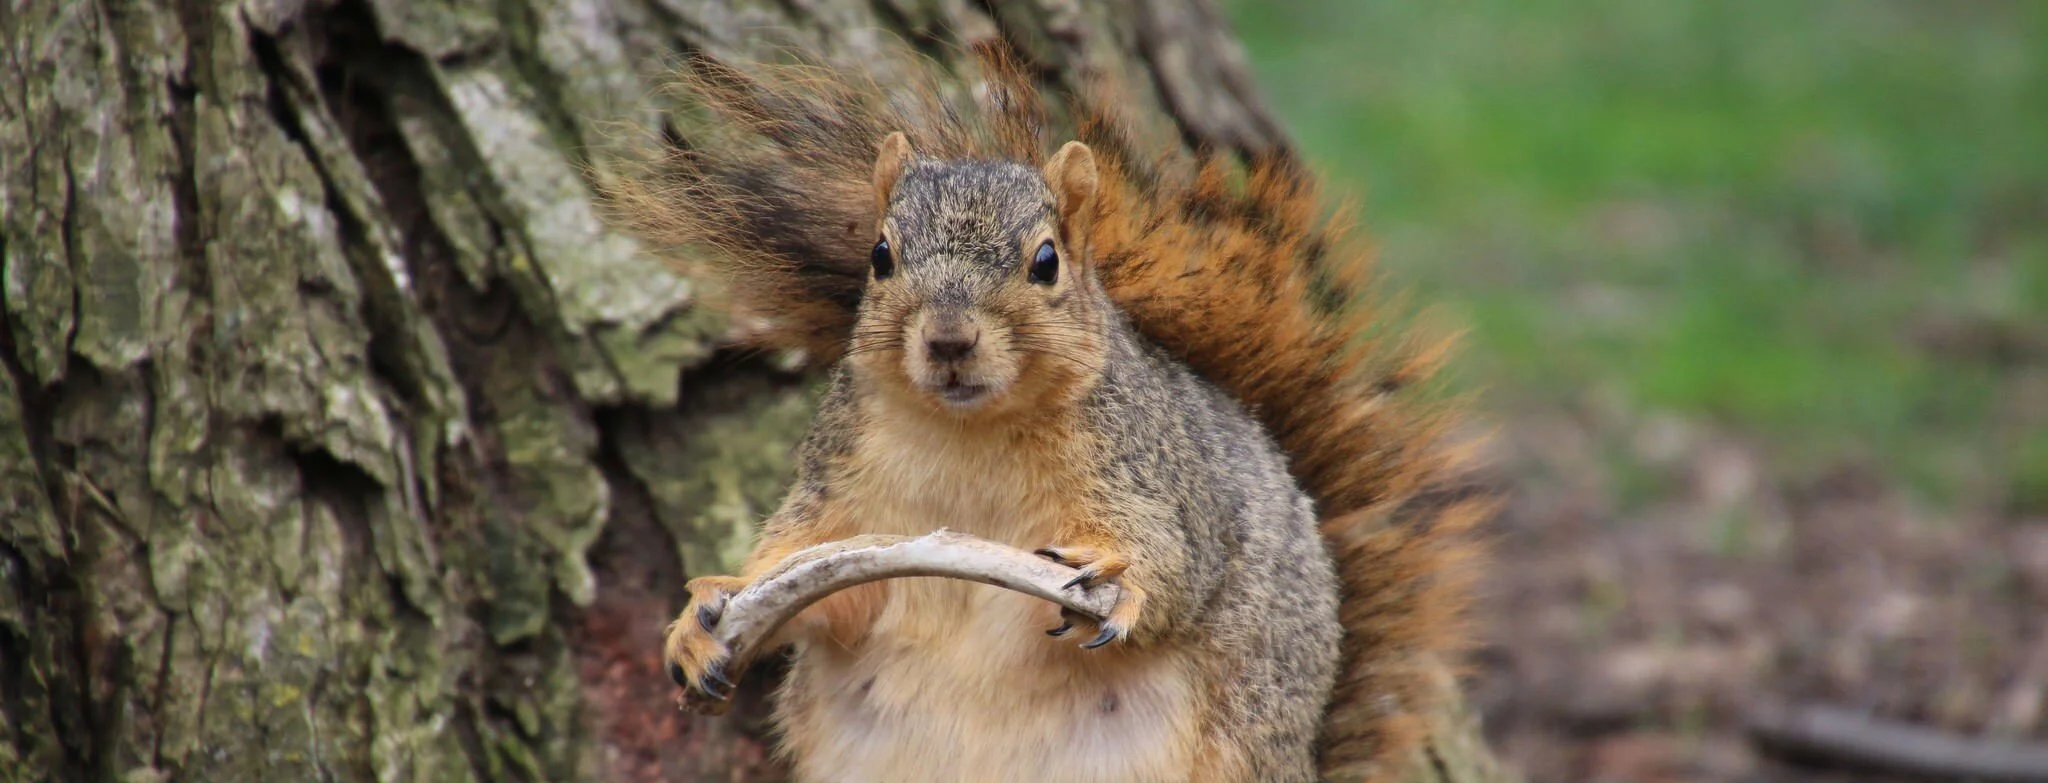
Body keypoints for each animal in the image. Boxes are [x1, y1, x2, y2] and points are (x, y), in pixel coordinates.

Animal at [602, 42, 1492, 783]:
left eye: (1046, 261)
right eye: (880, 255)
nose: (950, 339)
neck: (969, 433)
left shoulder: (1154, 474)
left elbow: (1181, 561)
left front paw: (1118, 579)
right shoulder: (842, 484)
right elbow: (821, 583)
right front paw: (706, 611)